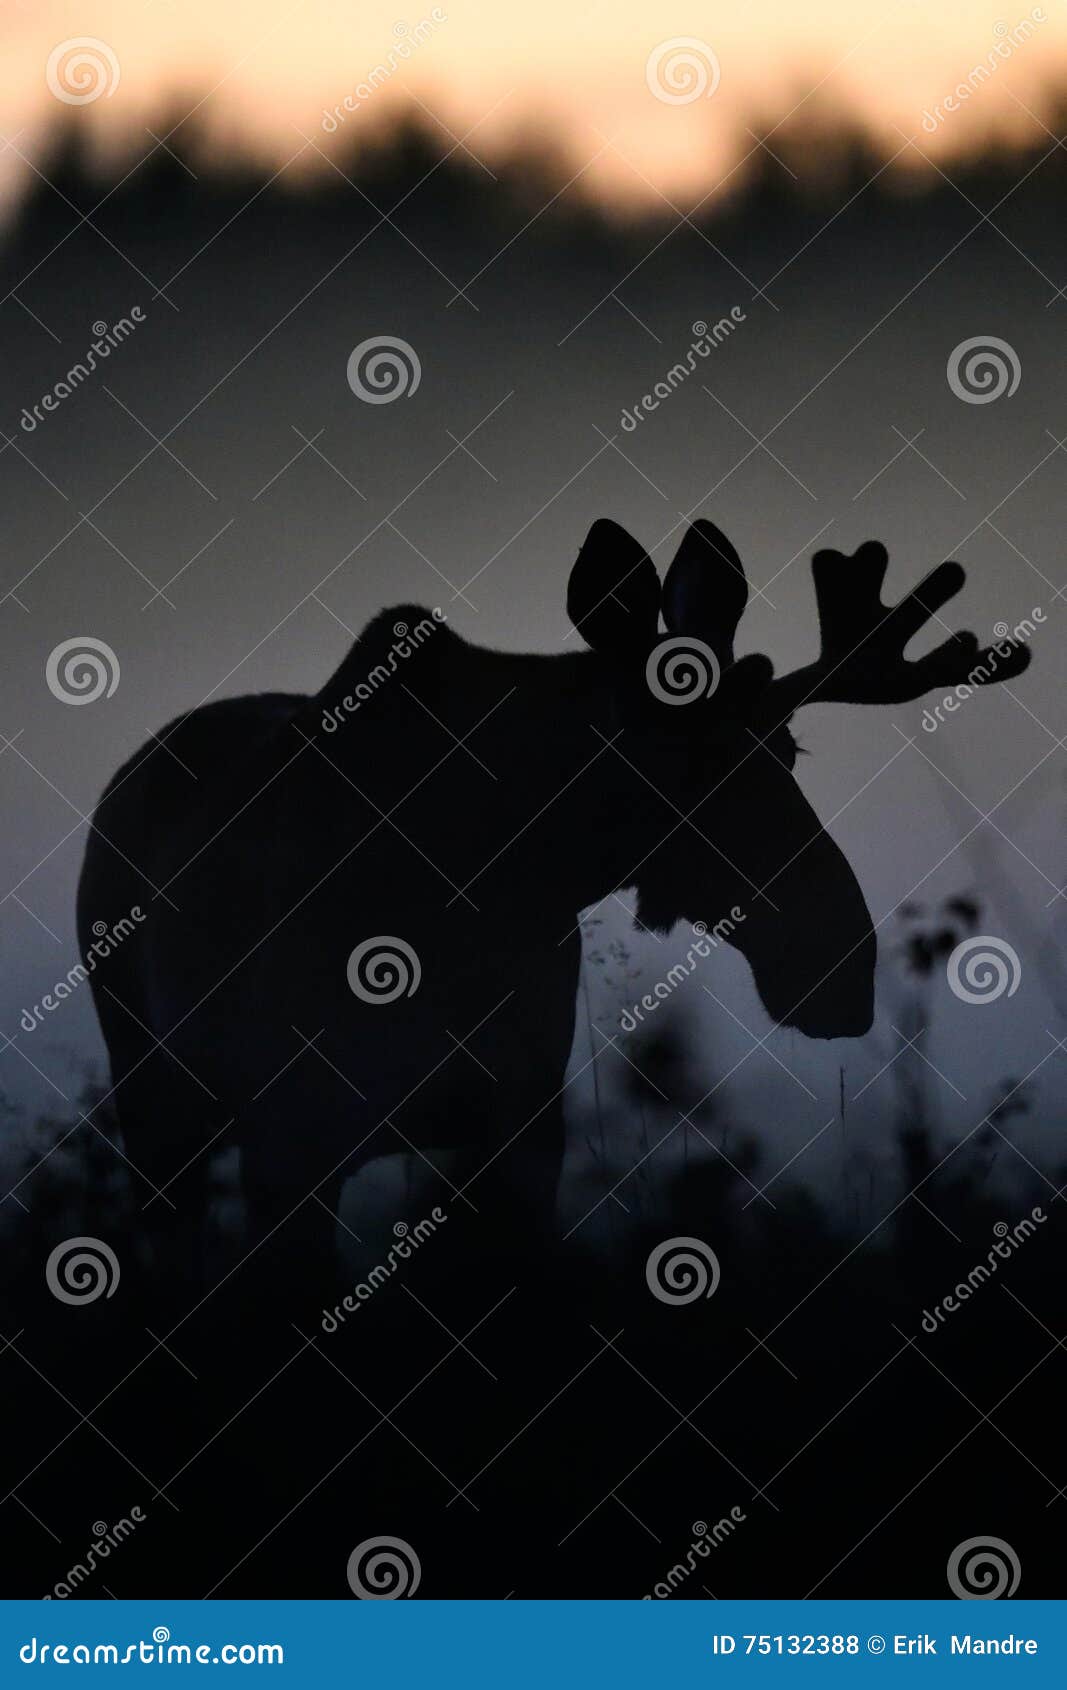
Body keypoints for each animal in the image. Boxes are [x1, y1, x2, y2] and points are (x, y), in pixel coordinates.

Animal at [77, 519, 1029, 1285]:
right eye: (683, 764)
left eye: (788, 749)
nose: (840, 956)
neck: (483, 878)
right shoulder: (293, 1135)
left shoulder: (524, 1126)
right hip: (154, 1103)